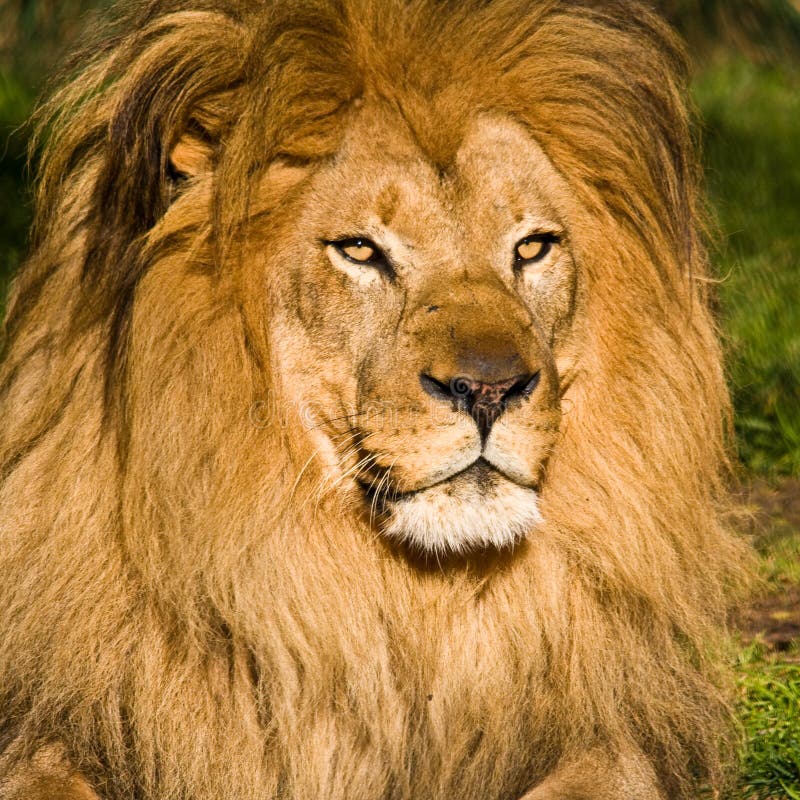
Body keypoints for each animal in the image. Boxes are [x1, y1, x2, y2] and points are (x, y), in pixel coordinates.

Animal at [0, 1, 748, 799]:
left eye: (532, 246)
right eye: (360, 250)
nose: (490, 389)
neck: (393, 608)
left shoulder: (607, 739)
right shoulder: (60, 726)